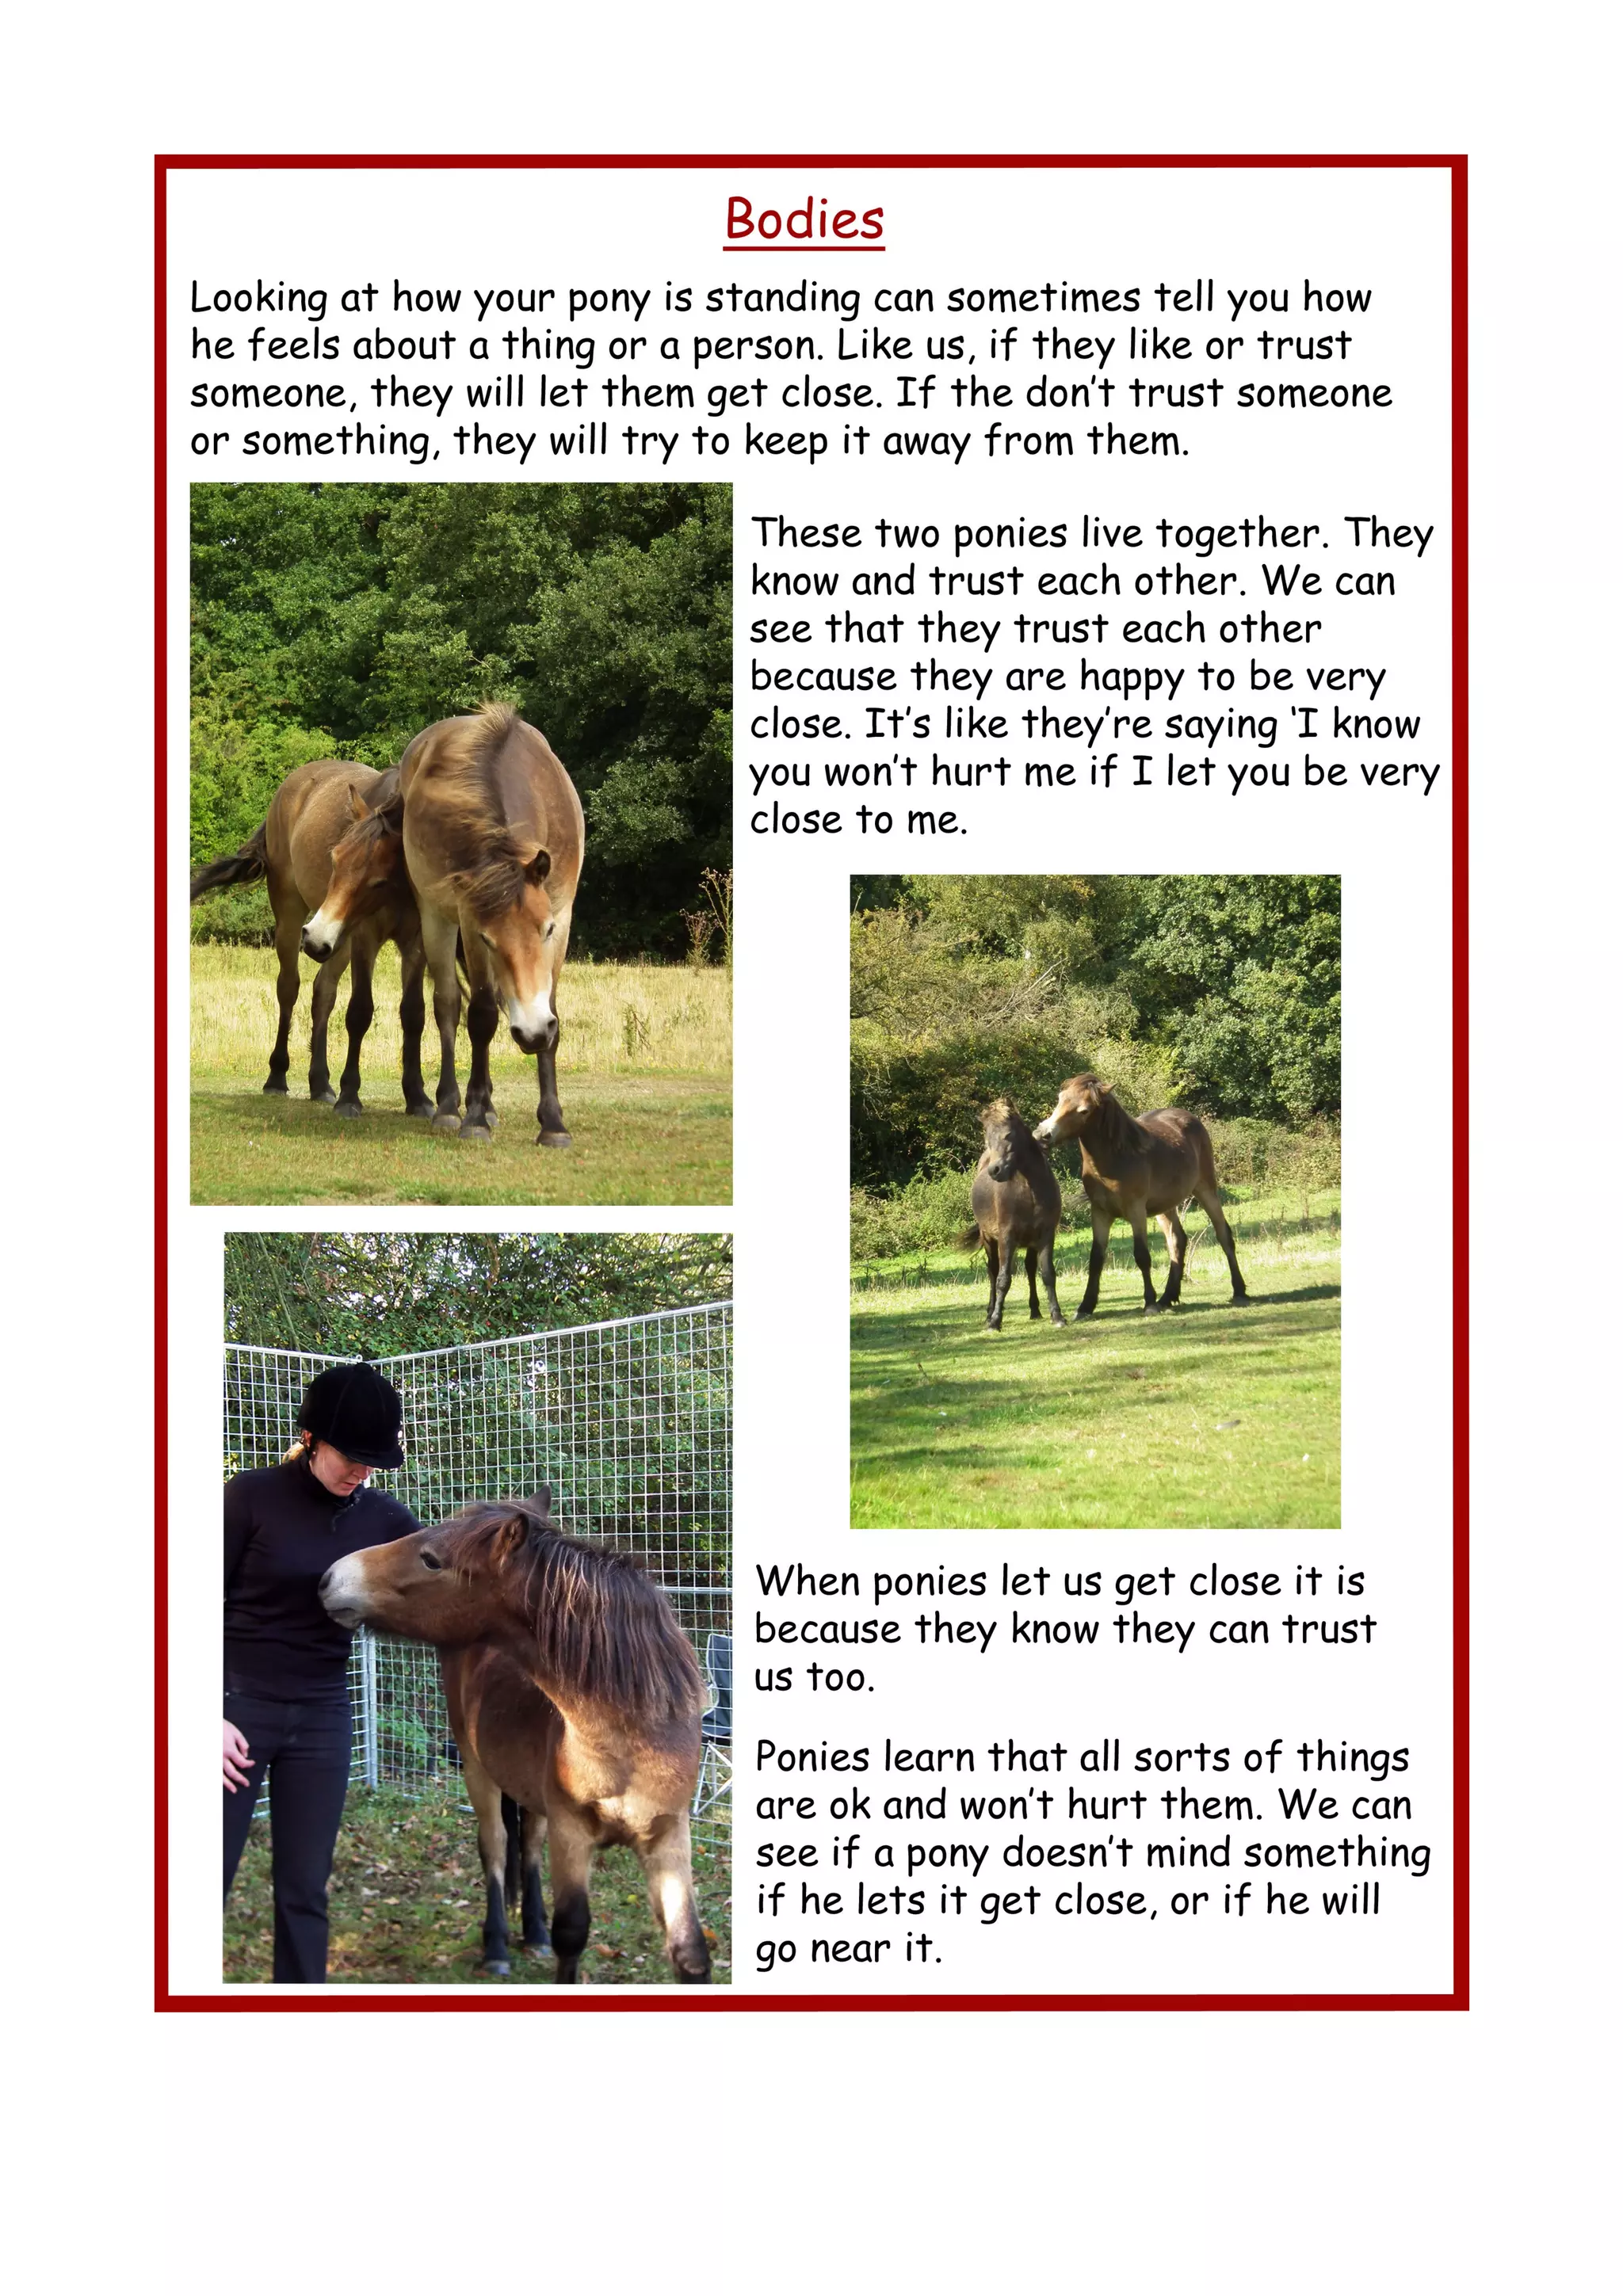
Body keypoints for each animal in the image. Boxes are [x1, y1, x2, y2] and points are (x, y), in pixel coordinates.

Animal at [190, 758, 432, 1119]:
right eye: (334, 858)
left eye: (378, 879)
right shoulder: (364, 940)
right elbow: (360, 1011)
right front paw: (350, 1097)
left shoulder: (415, 944)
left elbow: (414, 1014)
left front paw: (418, 1097)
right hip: (296, 921)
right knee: (289, 988)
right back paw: (277, 1077)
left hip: (334, 940)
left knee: (323, 994)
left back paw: (320, 1084)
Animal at [318, 1491, 711, 1984]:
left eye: (431, 1559)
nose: (330, 1577)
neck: (631, 1744)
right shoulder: (572, 1833)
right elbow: (572, 1933)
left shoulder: (668, 1835)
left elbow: (690, 1951)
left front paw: (542, 1932)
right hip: (478, 1773)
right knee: (496, 1850)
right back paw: (497, 1946)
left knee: (527, 1850)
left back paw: (534, 1932)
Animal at [391, 704, 584, 1145]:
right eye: (488, 939)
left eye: (547, 930)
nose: (531, 1034)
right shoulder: (468, 922)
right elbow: (480, 1016)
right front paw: (475, 1117)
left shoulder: (563, 913)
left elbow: (551, 1010)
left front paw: (553, 1123)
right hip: (436, 919)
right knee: (448, 1006)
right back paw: (450, 1106)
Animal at [960, 1098, 1065, 1332]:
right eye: (987, 1137)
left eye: (1008, 1134)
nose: (995, 1170)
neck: (1030, 1192)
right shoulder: (1007, 1237)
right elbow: (1003, 1279)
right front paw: (995, 1322)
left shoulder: (1046, 1235)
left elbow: (1047, 1274)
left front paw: (1057, 1316)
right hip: (989, 1240)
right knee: (992, 1271)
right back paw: (989, 1313)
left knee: (1030, 1268)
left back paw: (1035, 1310)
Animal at [1031, 1074, 1249, 1317]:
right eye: (1060, 1098)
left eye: (1084, 1110)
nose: (1043, 1135)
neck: (1115, 1159)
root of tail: (1190, 1119)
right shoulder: (1100, 1213)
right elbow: (1096, 1258)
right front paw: (1085, 1307)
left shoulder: (1136, 1211)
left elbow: (1142, 1256)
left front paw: (1149, 1304)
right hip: (1165, 1206)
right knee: (1177, 1240)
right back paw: (1167, 1297)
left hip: (1206, 1190)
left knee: (1223, 1235)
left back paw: (1239, 1292)